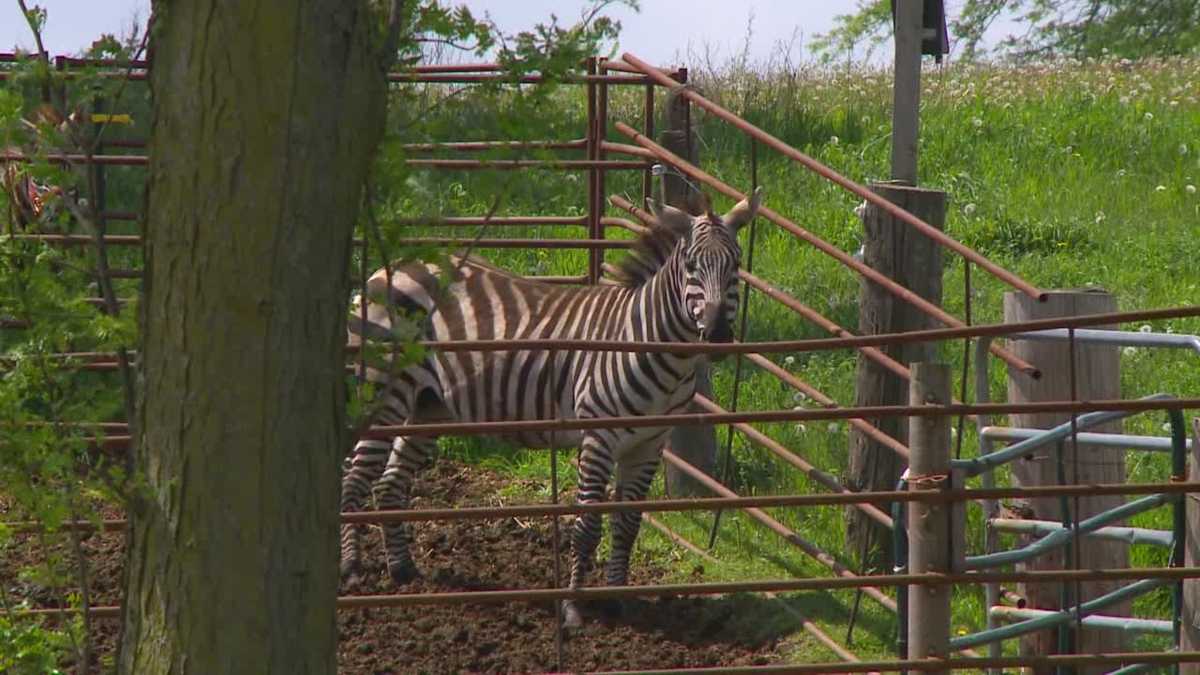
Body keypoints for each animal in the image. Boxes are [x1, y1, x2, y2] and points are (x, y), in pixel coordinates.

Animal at [340, 188, 762, 626]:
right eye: (692, 266)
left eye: (736, 265)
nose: (718, 335)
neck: (648, 341)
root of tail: (392, 266)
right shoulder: (599, 437)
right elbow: (588, 524)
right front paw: (574, 607)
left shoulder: (648, 445)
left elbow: (627, 524)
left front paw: (617, 599)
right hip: (382, 391)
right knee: (355, 477)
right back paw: (352, 571)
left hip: (428, 405)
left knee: (389, 483)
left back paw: (404, 571)